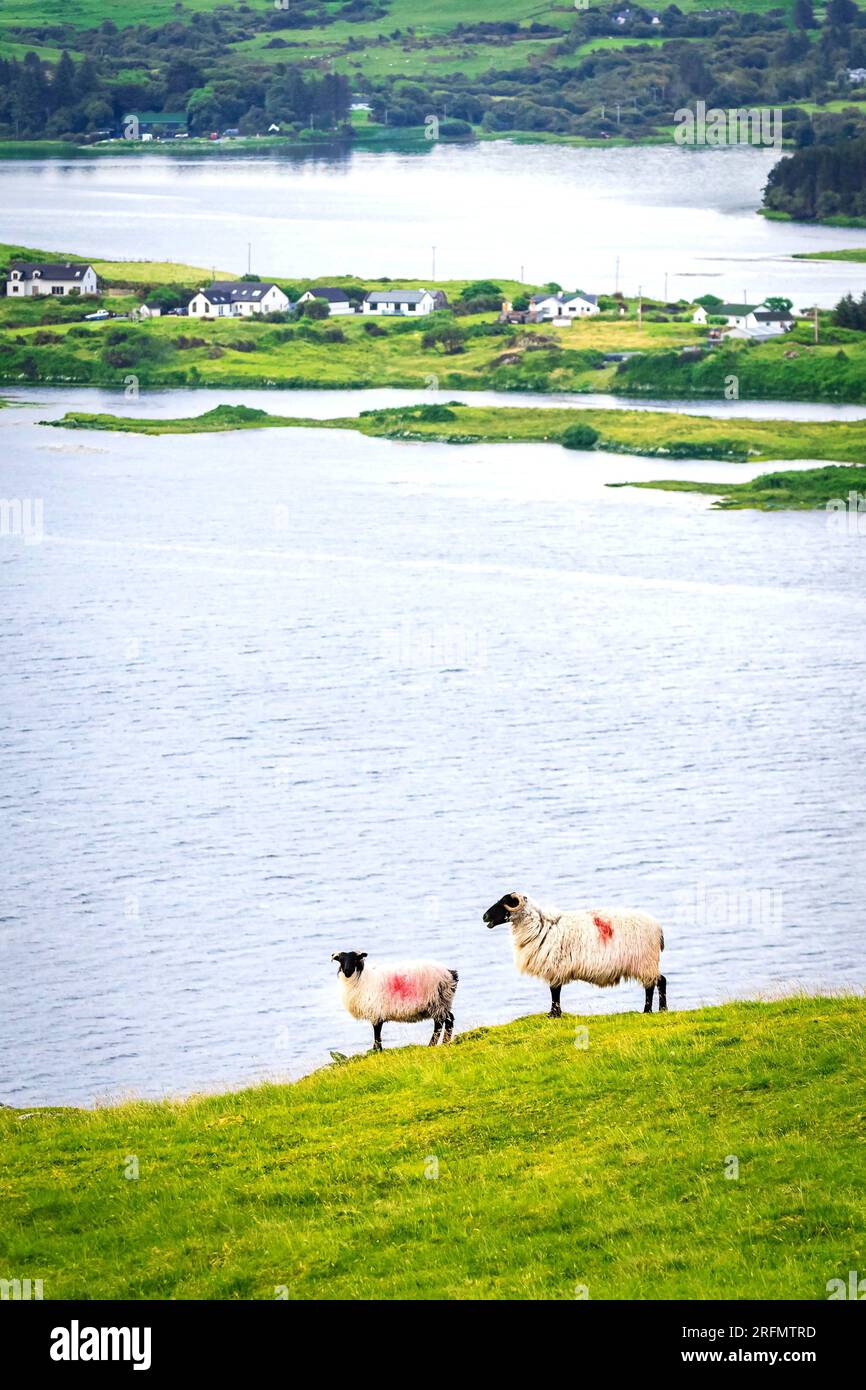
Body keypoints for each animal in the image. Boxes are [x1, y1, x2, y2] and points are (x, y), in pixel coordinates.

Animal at [482, 891, 666, 1016]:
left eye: (504, 902)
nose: (484, 916)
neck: (540, 926)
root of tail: (658, 928)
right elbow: (555, 991)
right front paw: (555, 1013)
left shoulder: (555, 967)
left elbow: (554, 991)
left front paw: (553, 1014)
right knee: (655, 983)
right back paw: (657, 1010)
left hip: (645, 961)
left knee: (656, 983)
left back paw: (652, 1010)